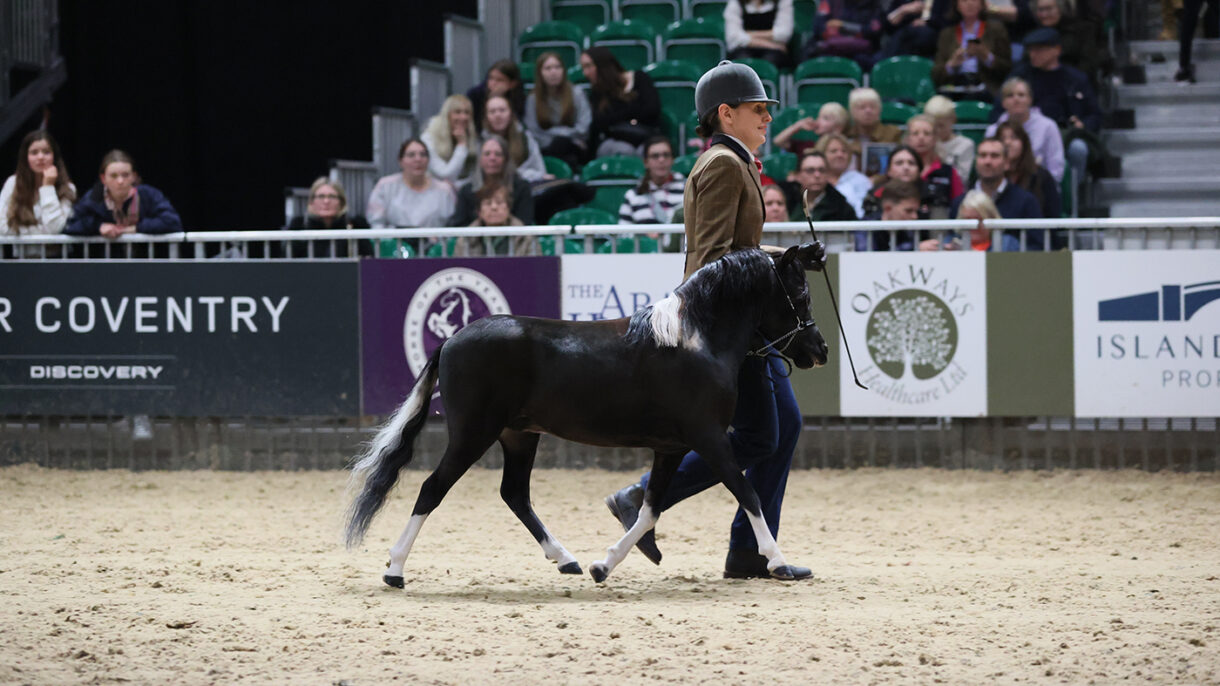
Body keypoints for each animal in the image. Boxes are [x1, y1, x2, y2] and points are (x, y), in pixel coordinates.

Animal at [344, 244, 829, 586]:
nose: (820, 350)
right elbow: (747, 492)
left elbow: (650, 509)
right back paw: (394, 570)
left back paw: (568, 560)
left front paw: (604, 565)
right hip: (473, 433)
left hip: (518, 434)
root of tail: (451, 340)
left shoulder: (672, 447)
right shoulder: (709, 438)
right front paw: (781, 564)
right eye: (801, 294)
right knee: (433, 489)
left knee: (514, 494)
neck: (695, 340)